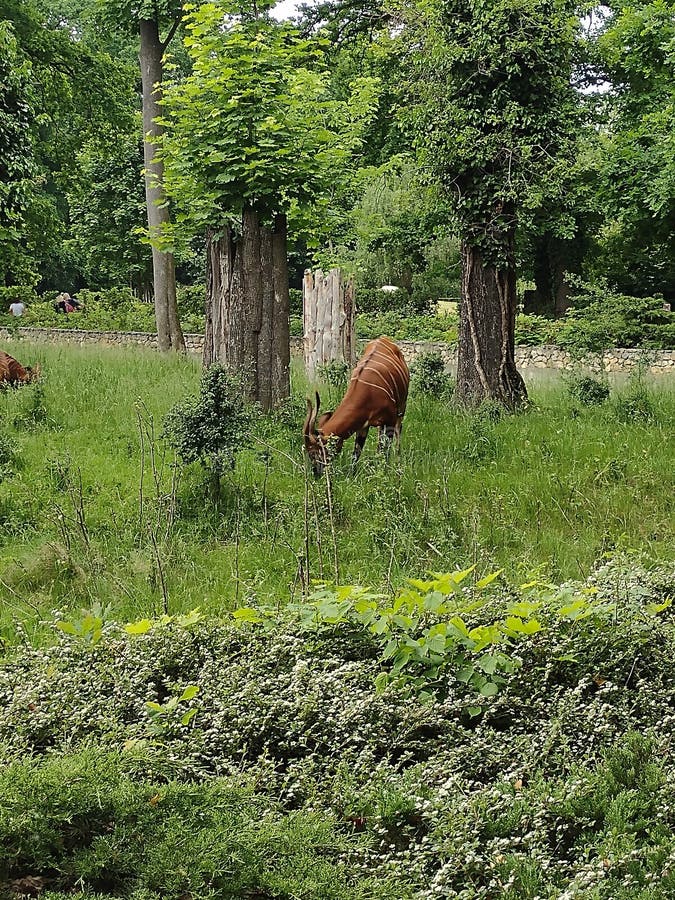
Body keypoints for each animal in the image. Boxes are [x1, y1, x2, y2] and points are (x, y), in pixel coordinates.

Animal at [303, 336, 410, 477]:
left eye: (313, 453)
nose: (316, 474)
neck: (367, 393)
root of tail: (383, 338)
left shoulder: (390, 419)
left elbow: (384, 452)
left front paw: (384, 474)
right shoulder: (363, 425)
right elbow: (357, 452)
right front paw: (352, 475)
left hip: (401, 407)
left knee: (397, 431)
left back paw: (398, 461)